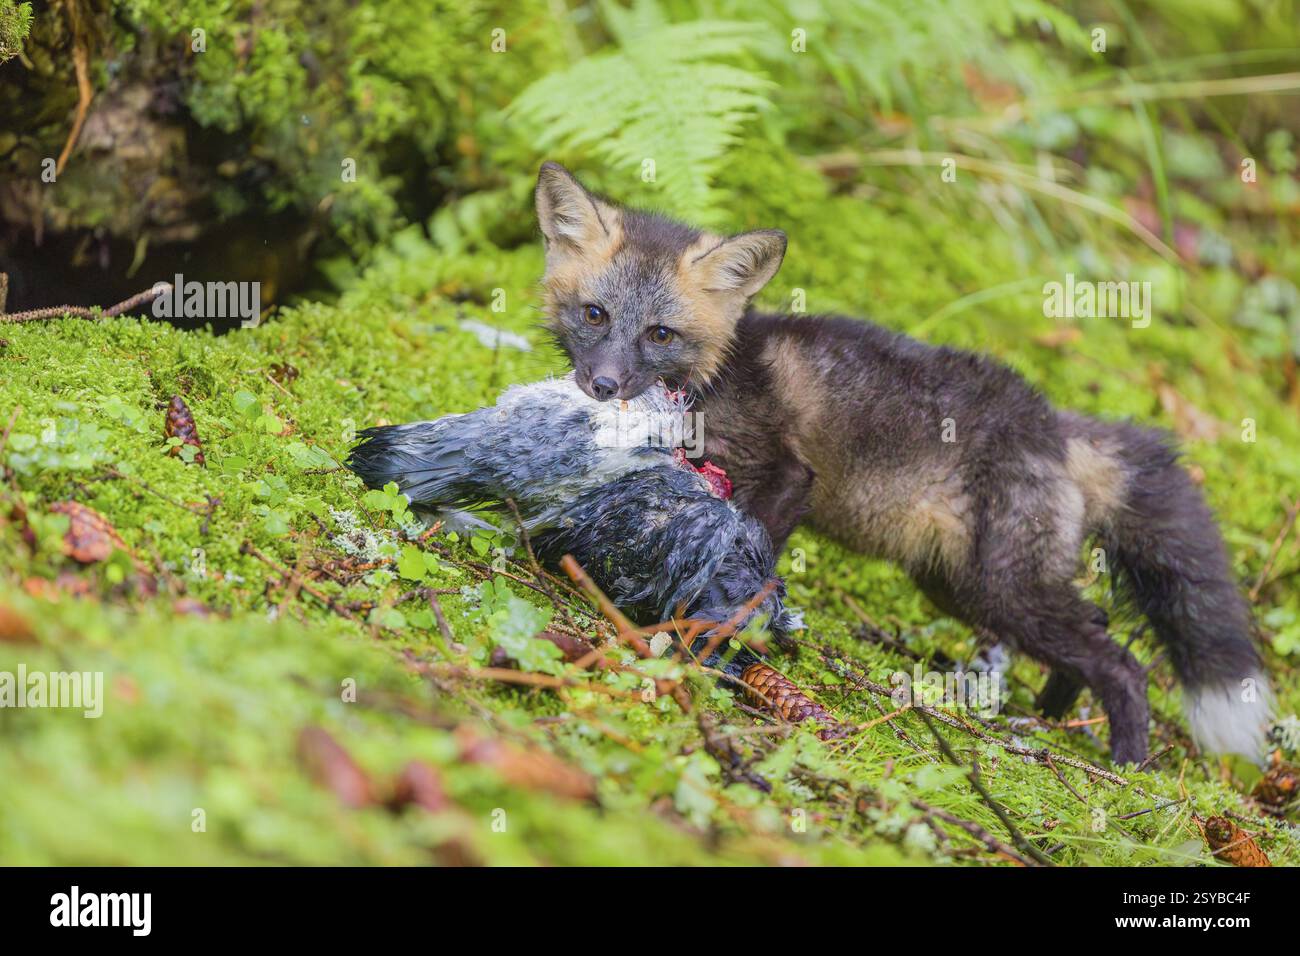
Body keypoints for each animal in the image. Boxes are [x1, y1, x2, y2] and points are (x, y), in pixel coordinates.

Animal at [532, 161, 1272, 765]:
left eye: (660, 334)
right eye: (595, 315)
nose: (602, 384)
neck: (716, 377)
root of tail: (1051, 422)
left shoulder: (788, 475)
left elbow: (746, 573)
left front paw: (705, 646)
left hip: (1002, 588)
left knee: (1122, 663)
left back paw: (1125, 765)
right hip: (958, 584)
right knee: (1096, 624)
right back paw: (1049, 716)